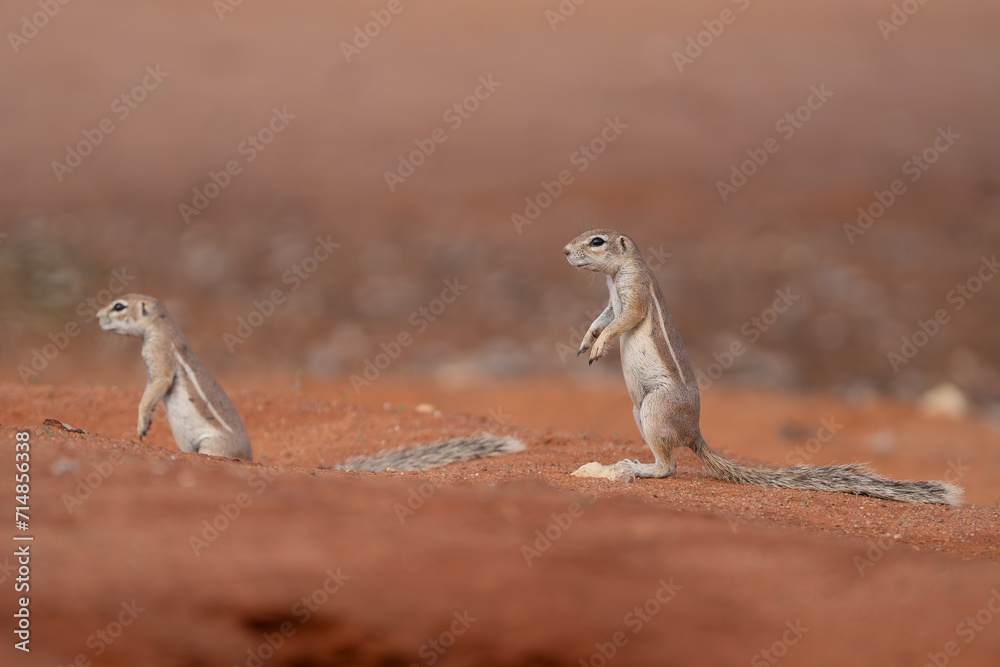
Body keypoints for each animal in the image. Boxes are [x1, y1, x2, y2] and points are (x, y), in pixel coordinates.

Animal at [98, 294, 525, 469]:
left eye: (119, 306)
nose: (97, 315)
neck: (161, 327)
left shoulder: (161, 360)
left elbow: (155, 388)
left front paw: (142, 423)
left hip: (212, 446)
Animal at [563, 230, 963, 506]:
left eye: (597, 241)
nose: (565, 251)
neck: (617, 274)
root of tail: (694, 434)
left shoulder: (635, 294)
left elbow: (623, 320)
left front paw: (599, 345)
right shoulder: (611, 302)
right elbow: (603, 318)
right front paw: (586, 340)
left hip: (655, 408)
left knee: (669, 467)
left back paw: (641, 468)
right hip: (639, 410)